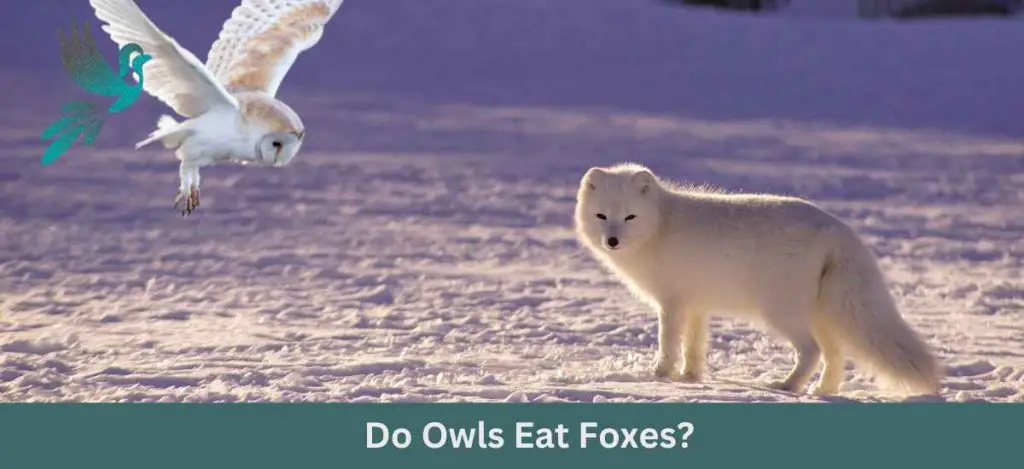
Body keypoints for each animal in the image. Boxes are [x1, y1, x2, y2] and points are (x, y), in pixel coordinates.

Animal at [573, 162, 942, 396]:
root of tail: (839, 229)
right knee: (835, 356)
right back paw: (823, 390)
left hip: (781, 312)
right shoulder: (696, 305)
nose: (612, 241)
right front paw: (690, 378)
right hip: (821, 314)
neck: (660, 226)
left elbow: (668, 343)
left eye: (630, 217)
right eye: (602, 216)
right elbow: (694, 346)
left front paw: (660, 377)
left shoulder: (672, 303)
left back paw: (788, 386)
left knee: (812, 351)